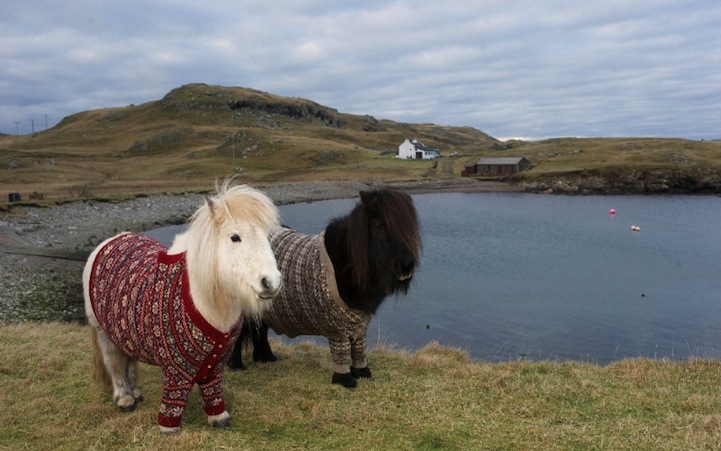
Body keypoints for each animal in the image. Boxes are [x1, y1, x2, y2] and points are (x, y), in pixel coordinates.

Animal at [83, 181, 282, 433]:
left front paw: (219, 418)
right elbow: (174, 396)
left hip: (125, 332)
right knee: (115, 363)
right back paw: (124, 398)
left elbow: (213, 392)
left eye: (266, 236)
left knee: (129, 361)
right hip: (104, 333)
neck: (202, 300)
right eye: (235, 237)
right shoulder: (174, 369)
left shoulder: (215, 366)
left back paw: (135, 393)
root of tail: (107, 242)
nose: (271, 282)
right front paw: (169, 427)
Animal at [229, 189, 421, 388]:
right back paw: (236, 365)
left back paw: (267, 358)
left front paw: (363, 373)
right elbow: (342, 354)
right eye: (379, 226)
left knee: (260, 331)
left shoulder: (359, 326)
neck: (346, 264)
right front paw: (346, 380)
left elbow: (359, 351)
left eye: (409, 228)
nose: (406, 266)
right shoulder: (338, 330)